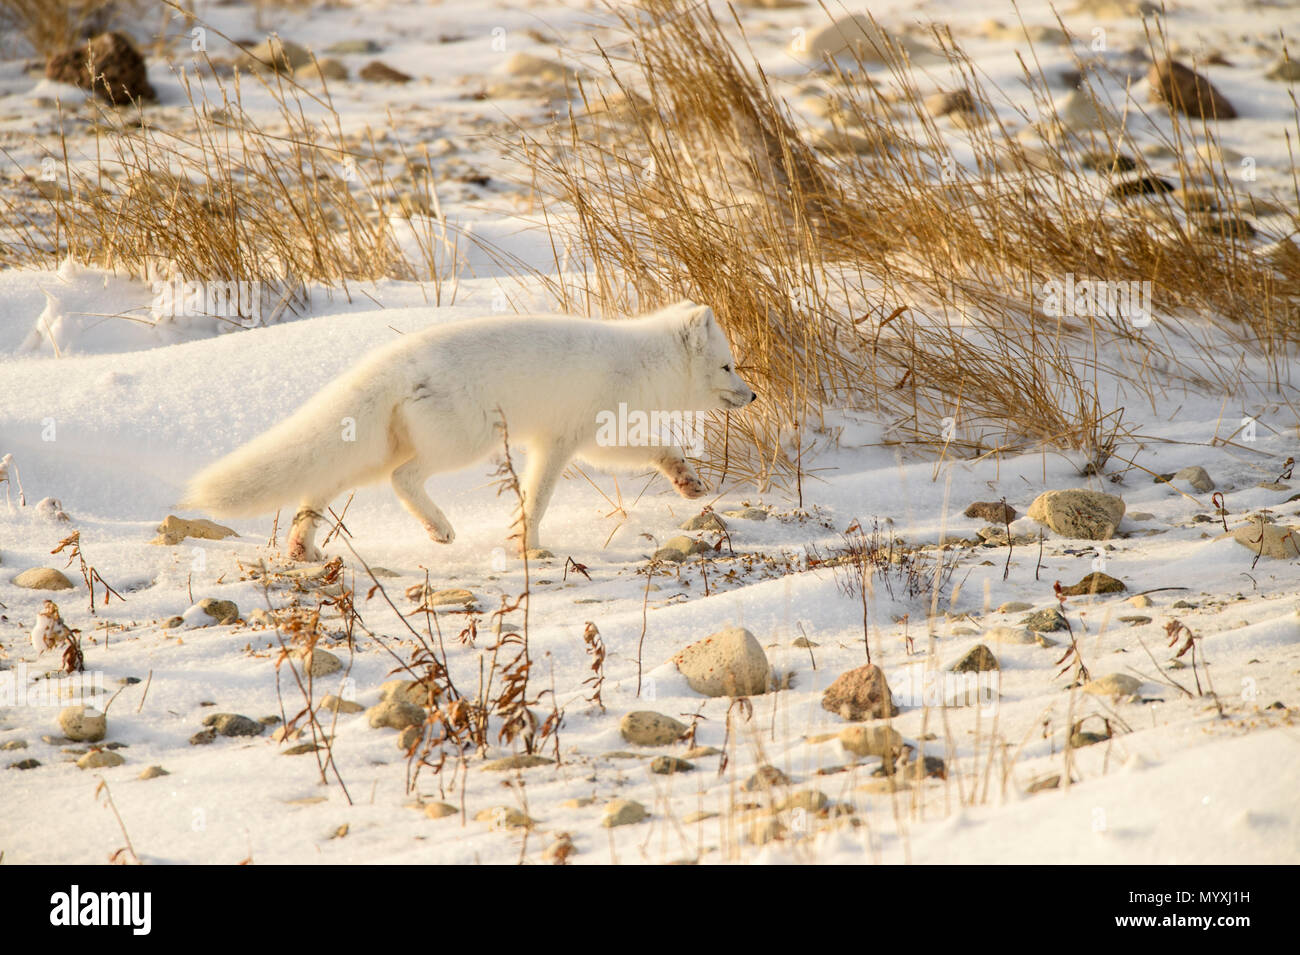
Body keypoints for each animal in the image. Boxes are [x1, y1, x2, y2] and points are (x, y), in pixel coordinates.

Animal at [182, 301, 757, 561]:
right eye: (728, 366)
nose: (753, 395)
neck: (645, 362)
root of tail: (396, 360)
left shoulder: (589, 438)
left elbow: (658, 450)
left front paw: (687, 482)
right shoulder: (569, 440)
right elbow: (537, 498)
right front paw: (530, 546)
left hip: (375, 450)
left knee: (318, 488)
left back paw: (303, 549)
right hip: (463, 443)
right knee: (403, 480)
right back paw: (439, 529)